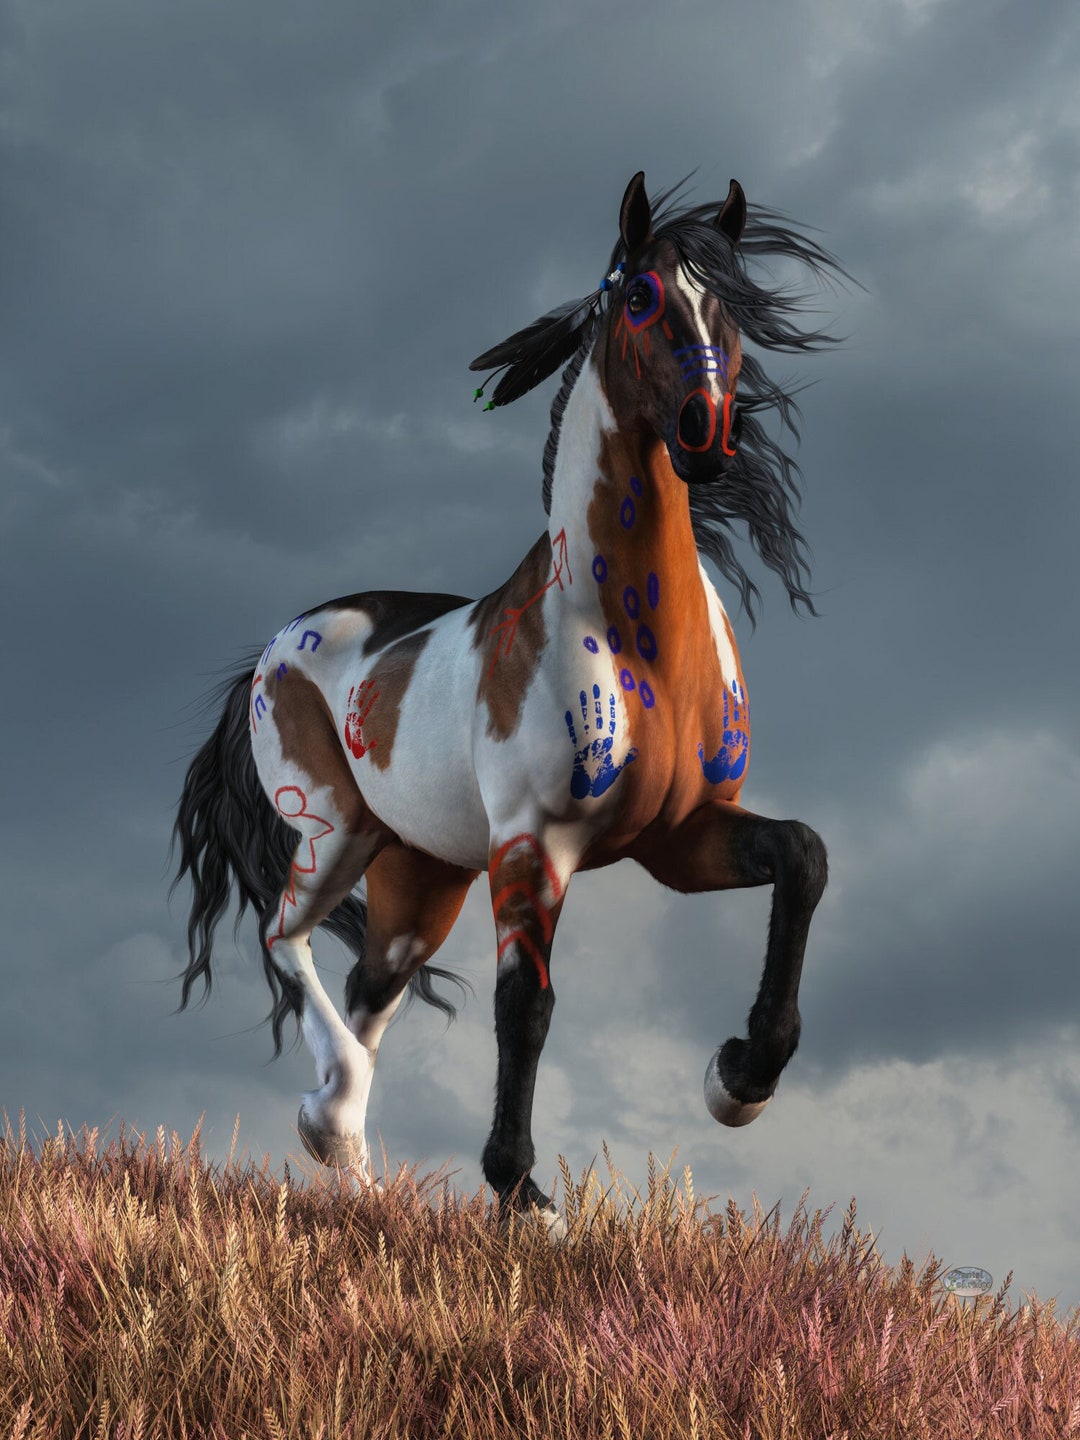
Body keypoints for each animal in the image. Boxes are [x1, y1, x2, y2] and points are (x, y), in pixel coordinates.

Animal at [172, 170, 848, 1242]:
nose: (706, 437)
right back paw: (340, 1111)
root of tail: (277, 646)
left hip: (421, 878)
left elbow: (804, 857)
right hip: (333, 834)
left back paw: (348, 1156)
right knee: (287, 942)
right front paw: (524, 1195)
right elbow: (524, 1005)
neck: (634, 638)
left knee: (369, 988)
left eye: (738, 307)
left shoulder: (682, 836)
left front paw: (738, 1080)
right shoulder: (536, 844)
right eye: (641, 296)